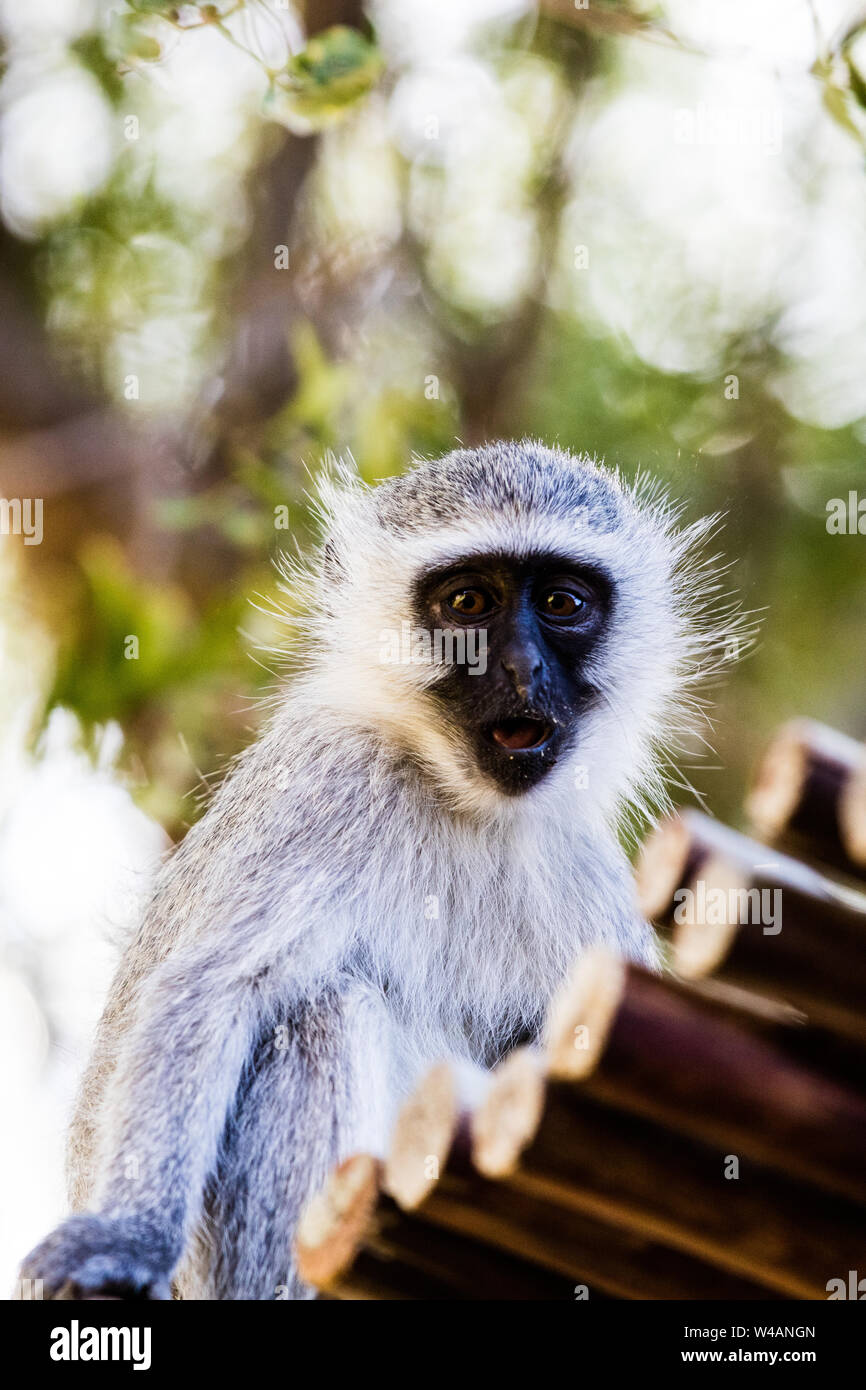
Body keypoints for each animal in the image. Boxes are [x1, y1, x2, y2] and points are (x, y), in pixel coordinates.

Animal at [20, 440, 738, 1300]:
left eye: (563, 602)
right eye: (467, 603)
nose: (524, 671)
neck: (462, 800)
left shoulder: (587, 872)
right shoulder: (325, 779)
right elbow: (207, 992)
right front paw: (126, 1234)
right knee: (324, 1012)